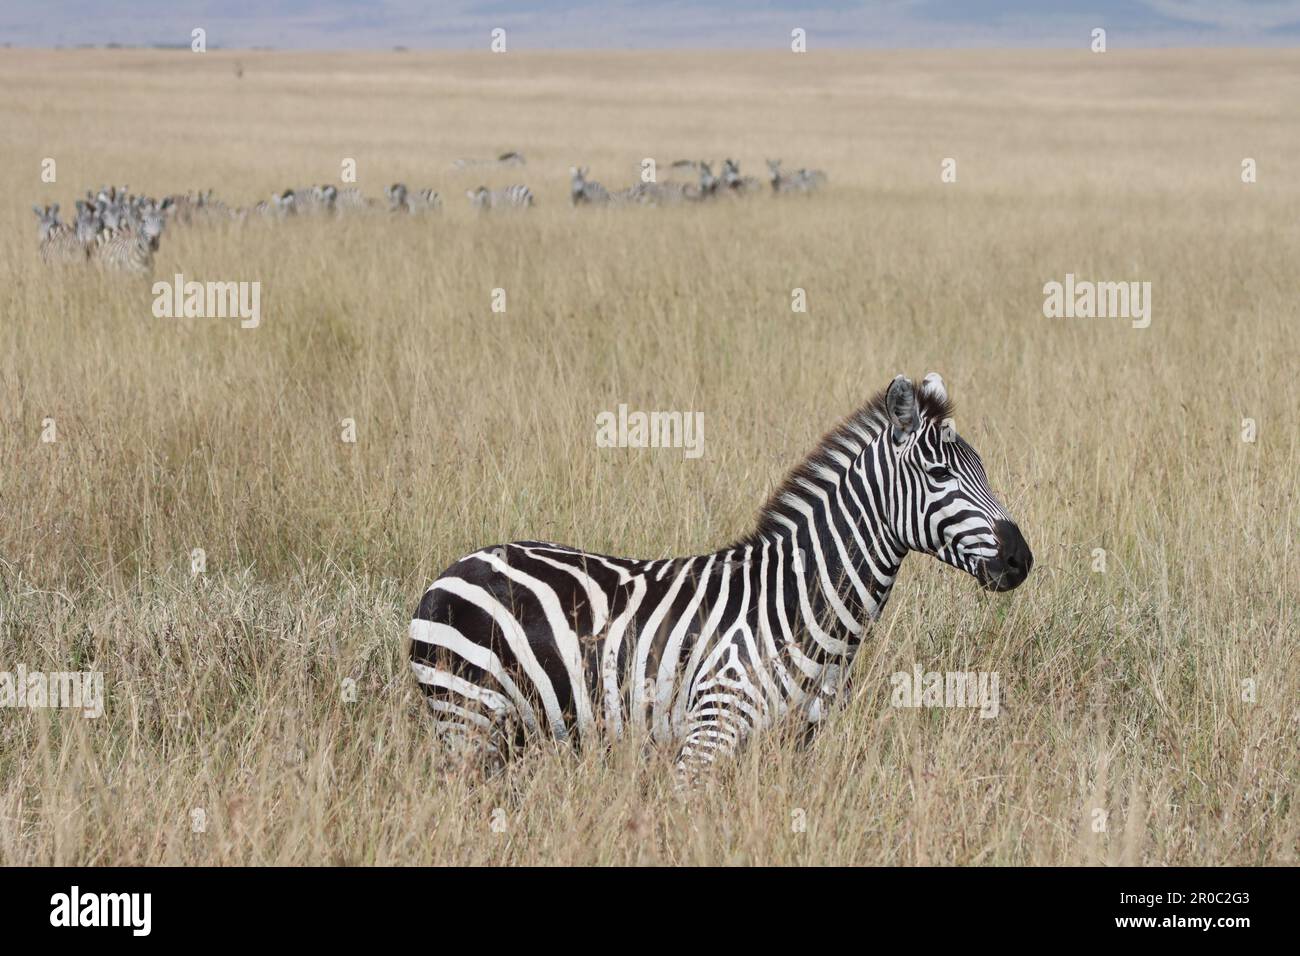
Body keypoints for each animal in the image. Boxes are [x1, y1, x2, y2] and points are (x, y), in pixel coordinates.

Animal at [408, 373, 1033, 785]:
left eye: (980, 467)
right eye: (939, 473)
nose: (1020, 560)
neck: (799, 609)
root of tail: (455, 568)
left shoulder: (798, 745)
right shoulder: (709, 734)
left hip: (510, 733)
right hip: (468, 719)